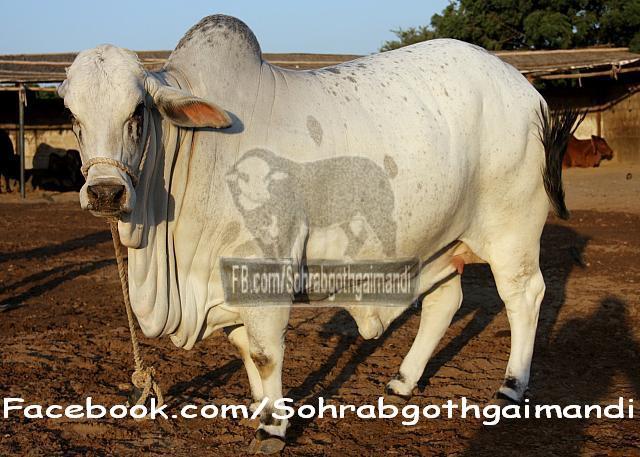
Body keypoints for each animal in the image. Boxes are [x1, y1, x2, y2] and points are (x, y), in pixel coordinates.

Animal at [58, 15, 579, 453]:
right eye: (72, 117)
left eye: (137, 112)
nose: (105, 192)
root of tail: (526, 89)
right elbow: (244, 348)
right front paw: (262, 408)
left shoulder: (266, 272)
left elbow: (265, 353)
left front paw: (272, 428)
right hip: (440, 239)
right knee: (444, 303)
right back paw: (403, 381)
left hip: (512, 230)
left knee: (524, 296)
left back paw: (511, 387)